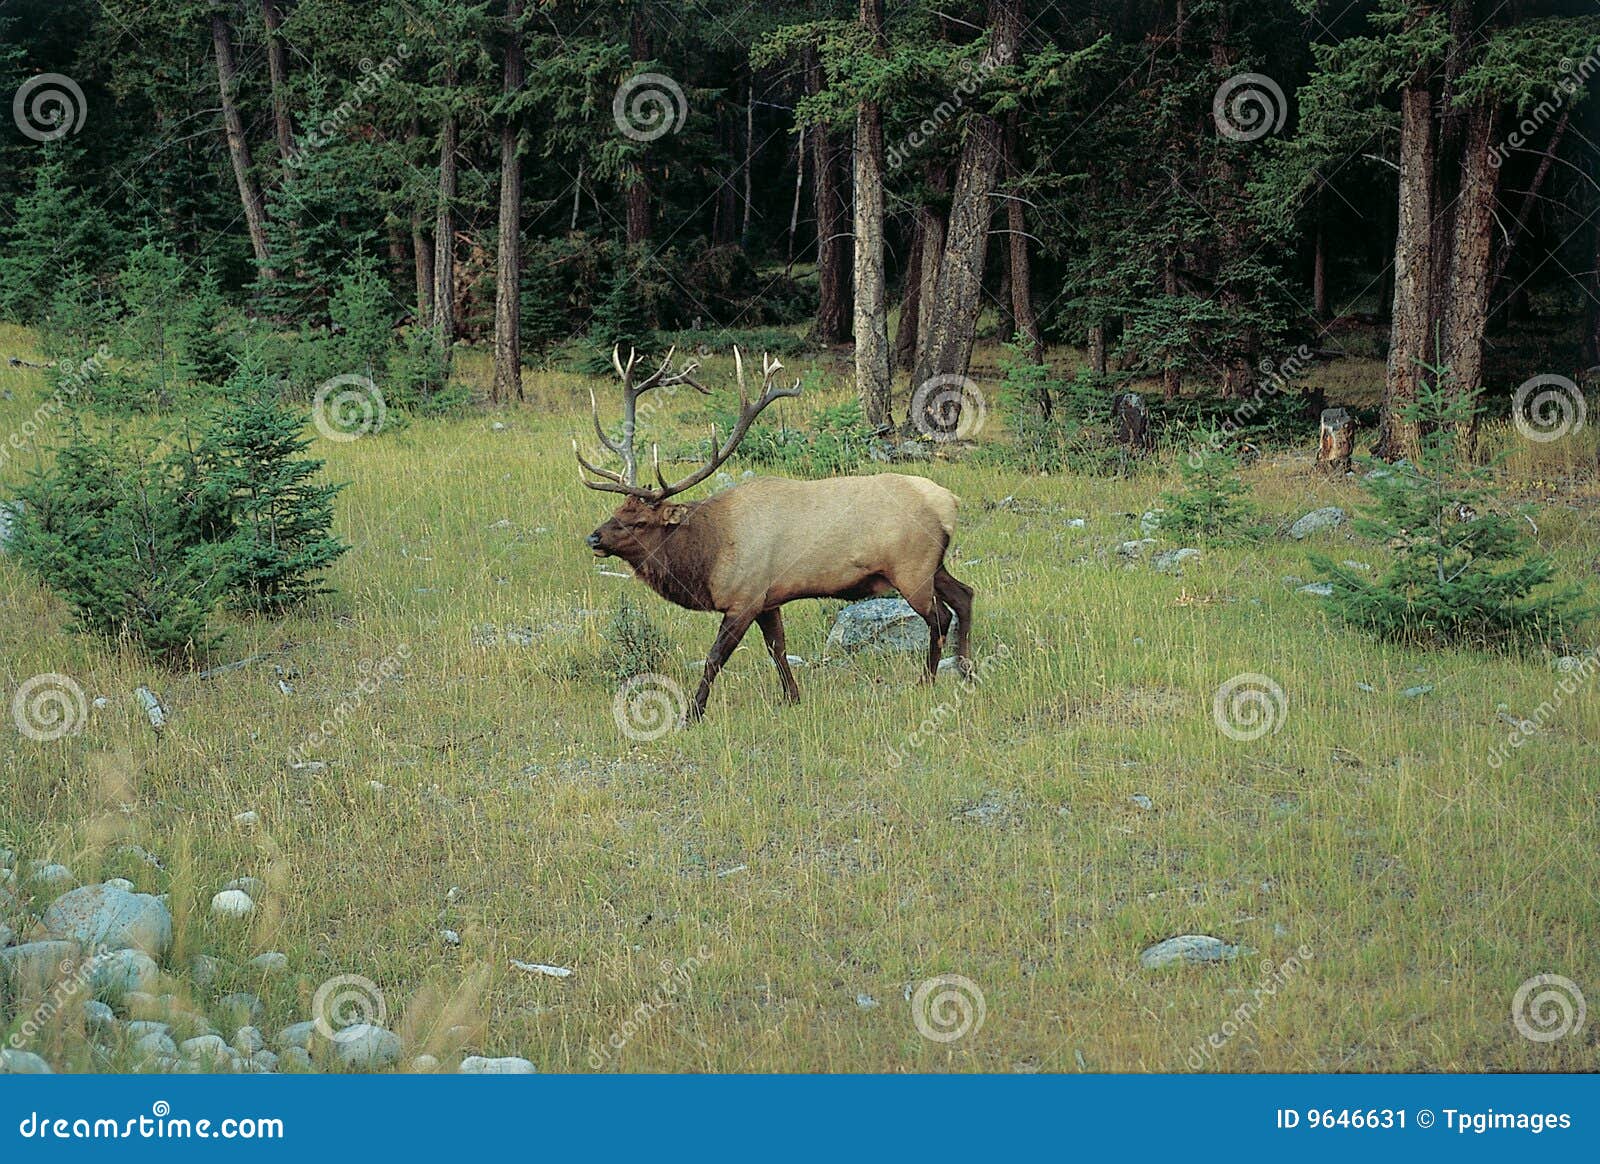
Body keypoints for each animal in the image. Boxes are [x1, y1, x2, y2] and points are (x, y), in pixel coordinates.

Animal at [576, 346, 975, 722]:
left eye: (640, 522)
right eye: (617, 511)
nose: (594, 538)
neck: (709, 555)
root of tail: (950, 502)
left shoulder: (745, 597)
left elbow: (715, 657)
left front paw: (693, 712)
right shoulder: (769, 600)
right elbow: (777, 648)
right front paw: (792, 697)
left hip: (911, 568)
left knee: (940, 617)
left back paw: (927, 680)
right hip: (933, 565)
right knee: (966, 595)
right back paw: (966, 672)